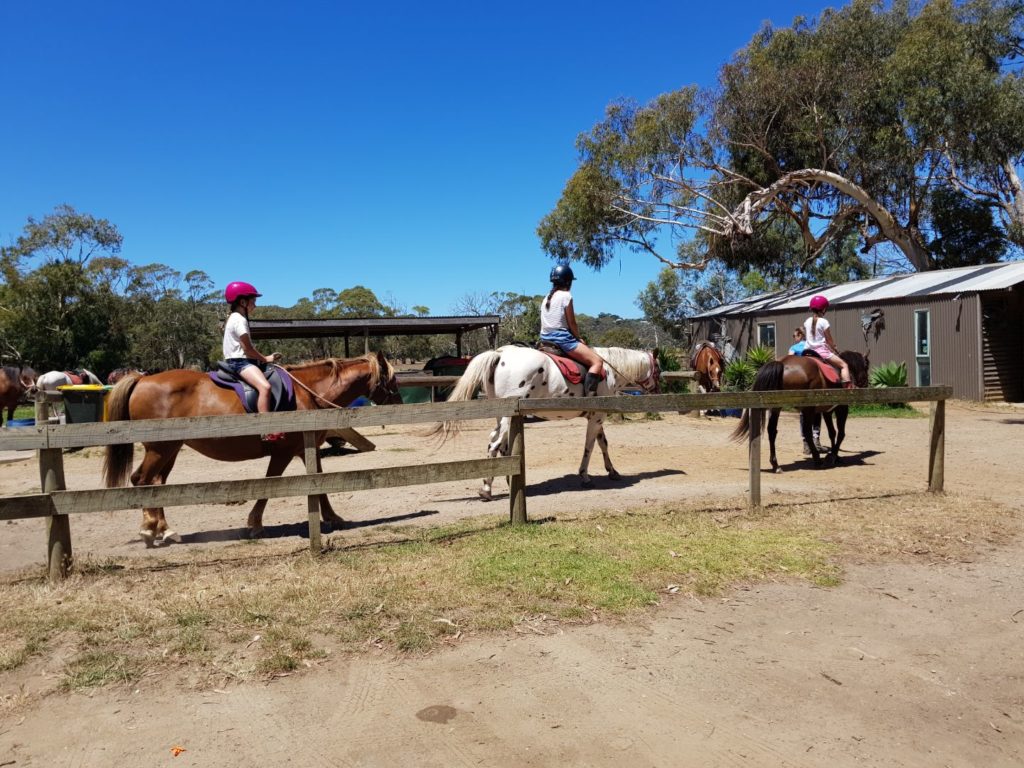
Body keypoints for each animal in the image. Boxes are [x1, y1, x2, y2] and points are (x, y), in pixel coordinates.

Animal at [102, 350, 403, 546]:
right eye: (393, 381)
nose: (399, 404)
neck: (309, 392)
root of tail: (141, 379)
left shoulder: (305, 448)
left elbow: (320, 483)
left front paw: (333, 517)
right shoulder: (283, 452)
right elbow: (270, 484)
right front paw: (255, 525)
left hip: (170, 450)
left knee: (157, 484)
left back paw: (164, 530)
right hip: (160, 449)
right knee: (142, 480)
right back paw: (149, 530)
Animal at [435, 345, 660, 500]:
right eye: (658, 369)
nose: (657, 390)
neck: (608, 370)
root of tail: (500, 354)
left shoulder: (597, 416)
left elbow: (603, 443)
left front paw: (613, 471)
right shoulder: (597, 416)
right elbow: (589, 446)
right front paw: (585, 476)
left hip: (501, 415)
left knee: (500, 444)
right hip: (508, 415)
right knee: (494, 444)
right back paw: (487, 489)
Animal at [731, 350, 870, 472]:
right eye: (867, 366)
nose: (866, 383)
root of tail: (782, 362)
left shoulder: (827, 411)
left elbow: (832, 433)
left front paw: (835, 456)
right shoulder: (842, 408)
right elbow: (841, 433)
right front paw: (832, 456)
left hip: (777, 406)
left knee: (772, 431)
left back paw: (776, 465)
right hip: (807, 408)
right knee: (807, 432)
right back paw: (816, 459)